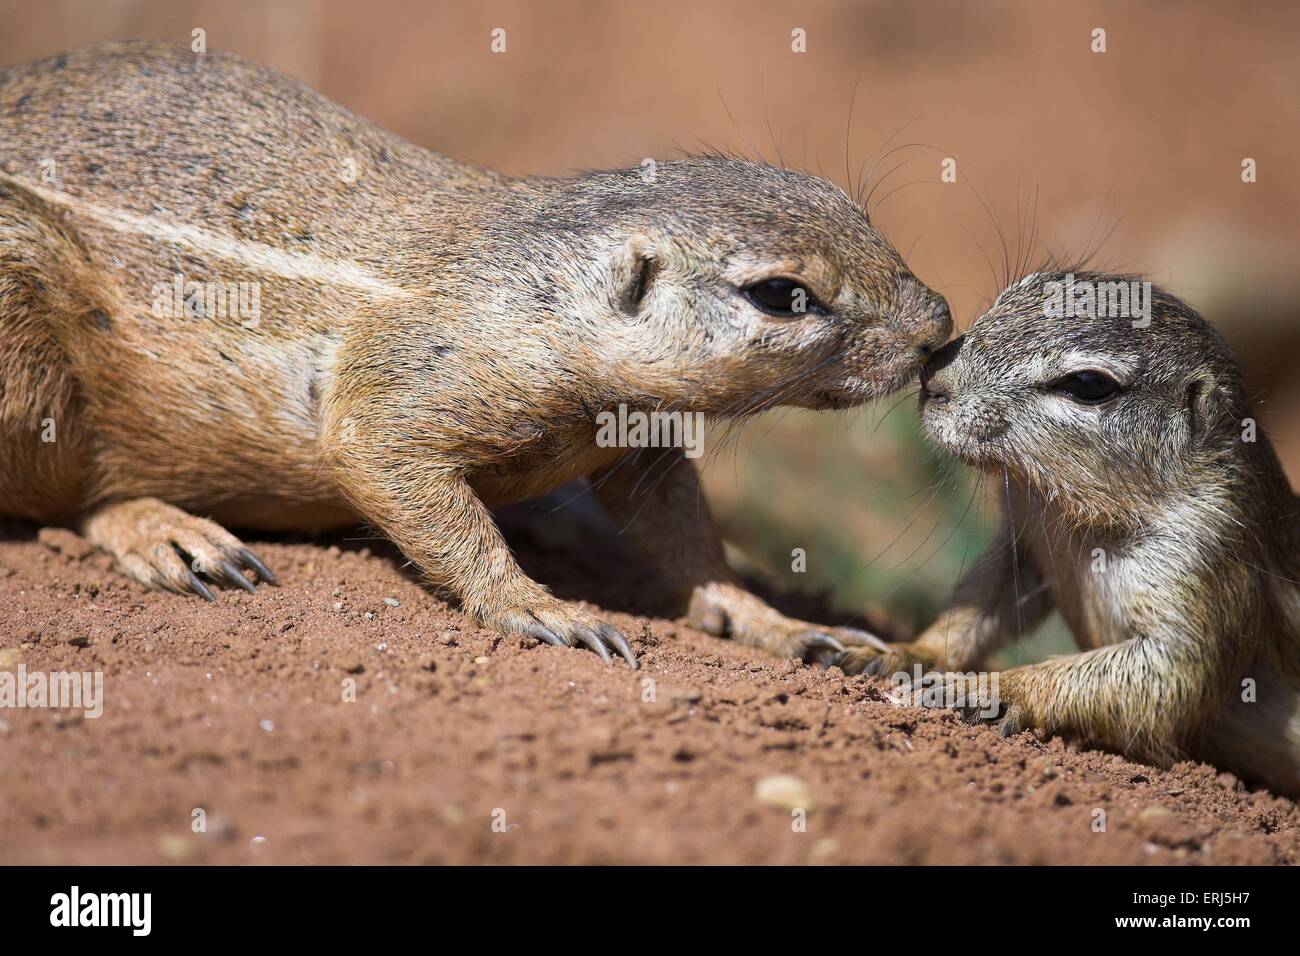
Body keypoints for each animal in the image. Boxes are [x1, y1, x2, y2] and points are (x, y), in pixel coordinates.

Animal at [0, 42, 951, 669]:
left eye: (852, 207)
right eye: (781, 295)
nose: (939, 327)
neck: (545, 290)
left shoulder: (637, 439)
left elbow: (684, 539)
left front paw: (781, 623)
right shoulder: (415, 380)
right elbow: (398, 470)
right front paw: (542, 608)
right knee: (68, 502)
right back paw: (171, 534)